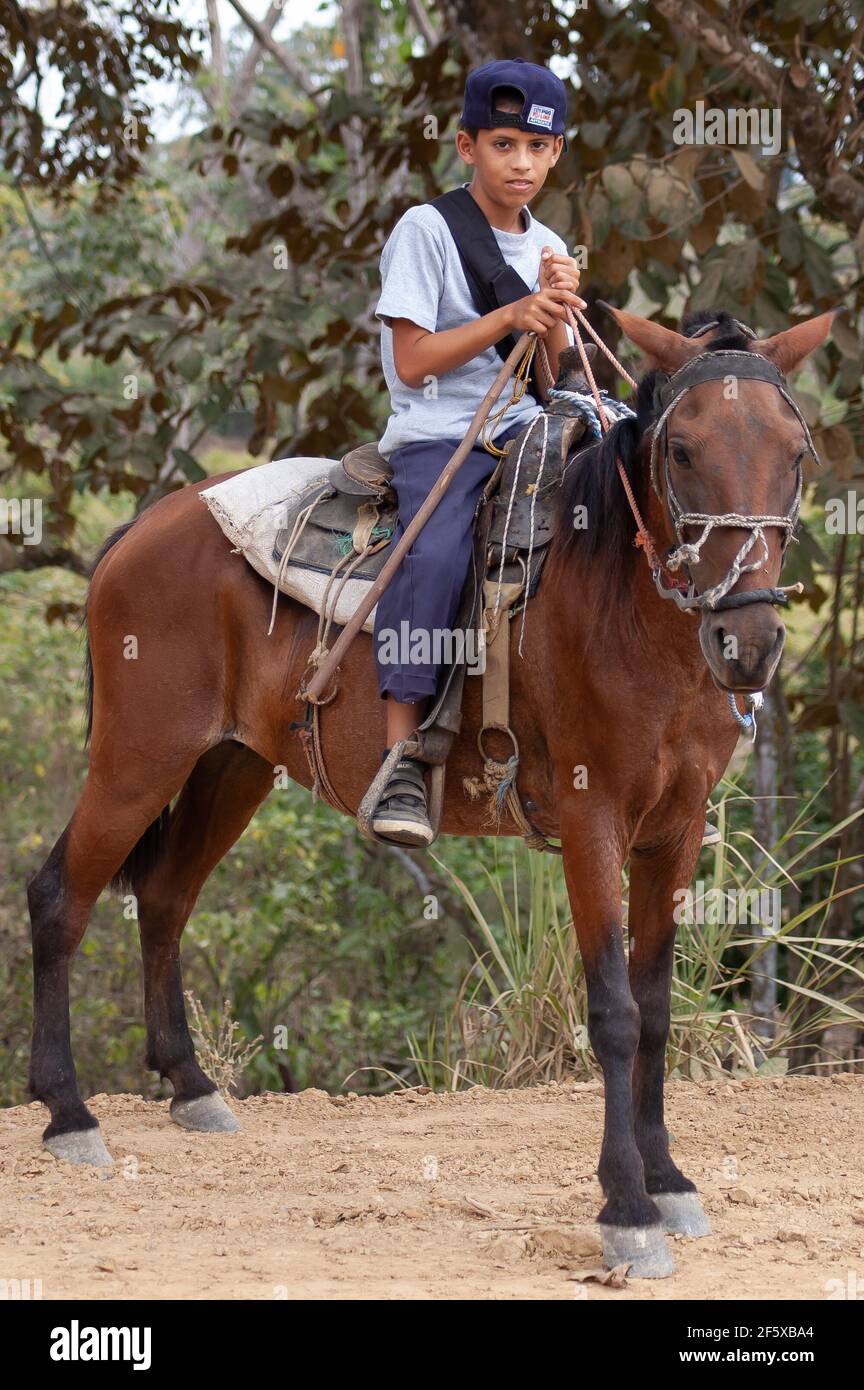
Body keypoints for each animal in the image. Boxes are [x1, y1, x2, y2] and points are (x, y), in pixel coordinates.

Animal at [26, 304, 835, 1277]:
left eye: (796, 452)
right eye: (682, 451)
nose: (748, 644)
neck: (619, 597)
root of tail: (147, 527)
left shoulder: (675, 828)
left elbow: (655, 1010)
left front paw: (671, 1182)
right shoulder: (592, 814)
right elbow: (611, 1011)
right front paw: (627, 1206)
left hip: (233, 765)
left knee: (164, 897)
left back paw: (190, 1086)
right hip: (138, 756)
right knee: (61, 898)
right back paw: (69, 1113)